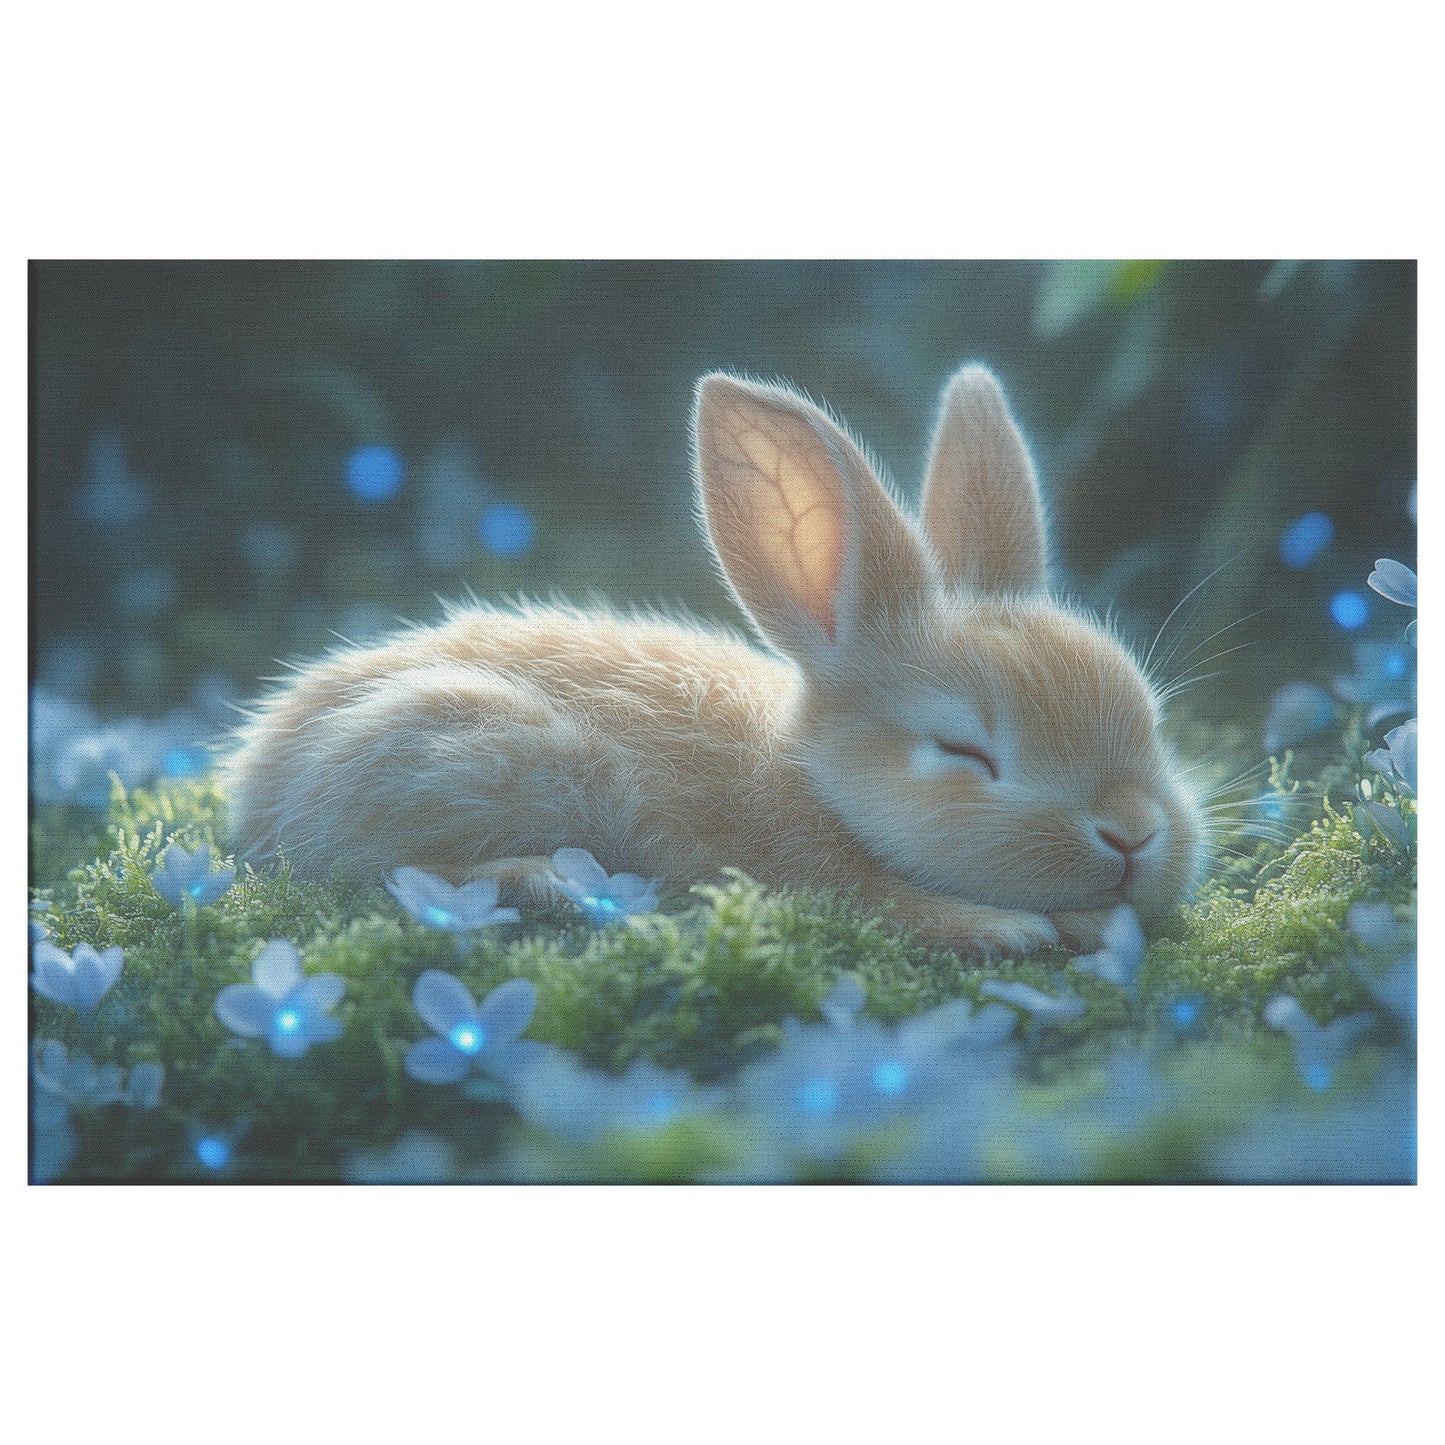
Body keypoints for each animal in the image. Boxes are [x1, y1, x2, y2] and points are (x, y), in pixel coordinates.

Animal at [223, 366, 1203, 954]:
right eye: (963, 752)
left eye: (1152, 721)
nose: (1133, 832)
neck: (812, 777)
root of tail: (258, 789)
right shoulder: (816, 874)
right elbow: (902, 904)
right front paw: (1013, 929)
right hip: (459, 750)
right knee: (371, 872)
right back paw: (542, 880)